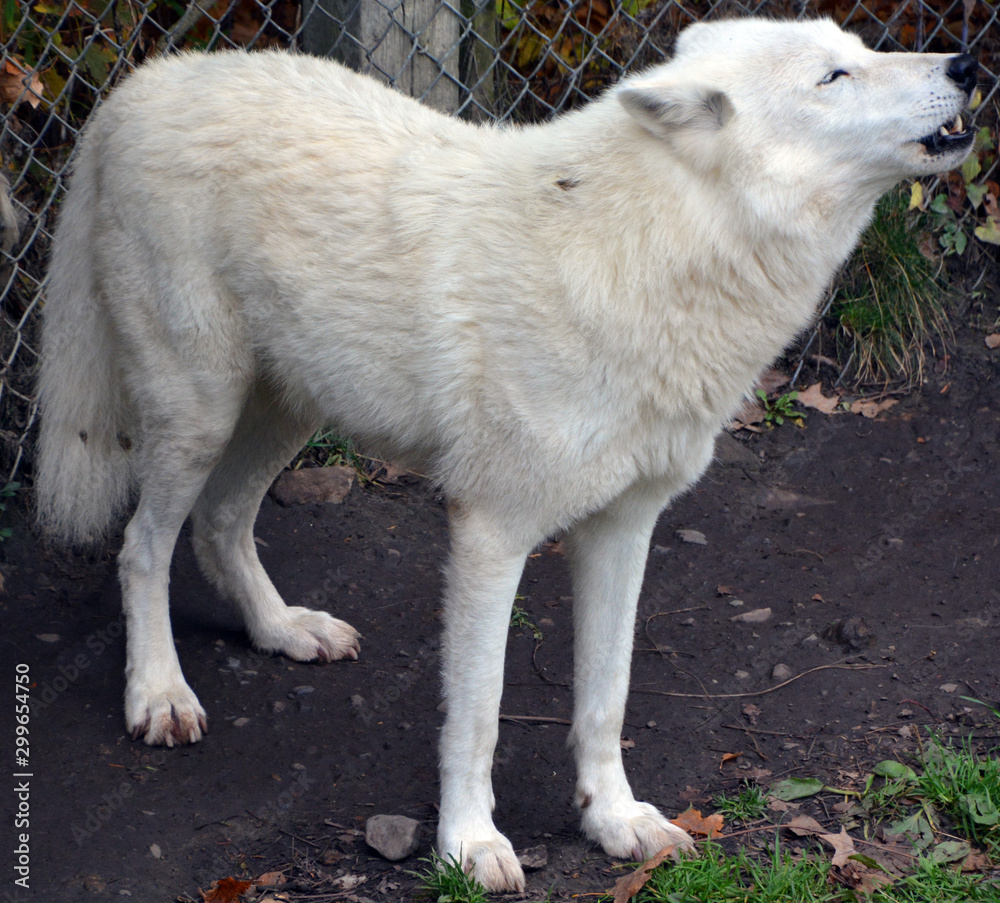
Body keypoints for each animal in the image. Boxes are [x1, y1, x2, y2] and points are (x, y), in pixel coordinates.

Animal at [36, 16, 976, 891]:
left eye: (860, 47)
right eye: (834, 75)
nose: (967, 63)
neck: (645, 250)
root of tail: (143, 83)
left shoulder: (625, 525)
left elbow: (606, 698)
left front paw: (615, 821)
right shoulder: (491, 530)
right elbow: (479, 713)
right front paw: (469, 845)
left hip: (282, 409)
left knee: (220, 524)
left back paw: (283, 630)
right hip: (198, 410)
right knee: (143, 546)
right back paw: (159, 694)